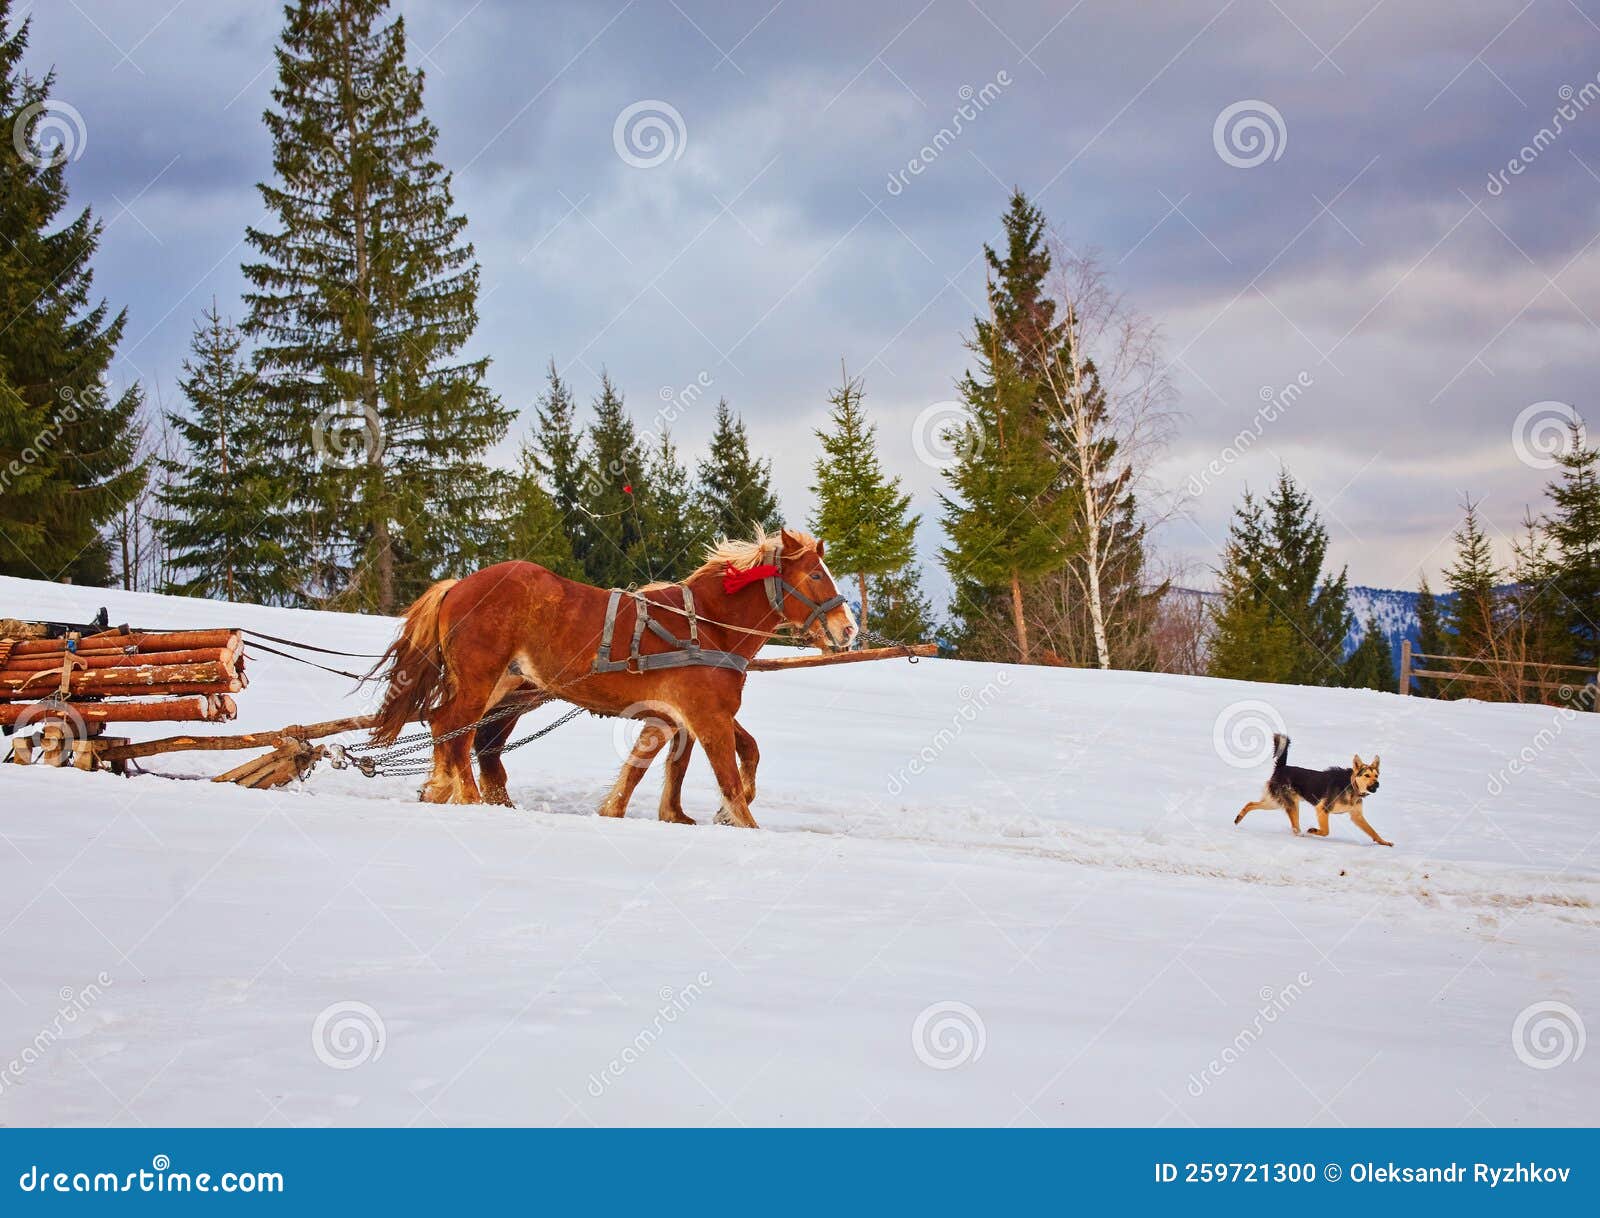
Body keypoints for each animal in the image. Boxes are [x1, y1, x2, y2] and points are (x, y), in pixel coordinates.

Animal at [365, 528, 857, 827]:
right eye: (816, 575)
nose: (848, 628)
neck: (705, 626)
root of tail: (458, 585)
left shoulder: (672, 716)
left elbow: (663, 765)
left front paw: (647, 813)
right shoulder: (707, 714)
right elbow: (729, 779)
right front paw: (746, 824)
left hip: (503, 686)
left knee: (451, 729)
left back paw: (441, 789)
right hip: (482, 681)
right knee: (456, 729)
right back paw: (465, 794)